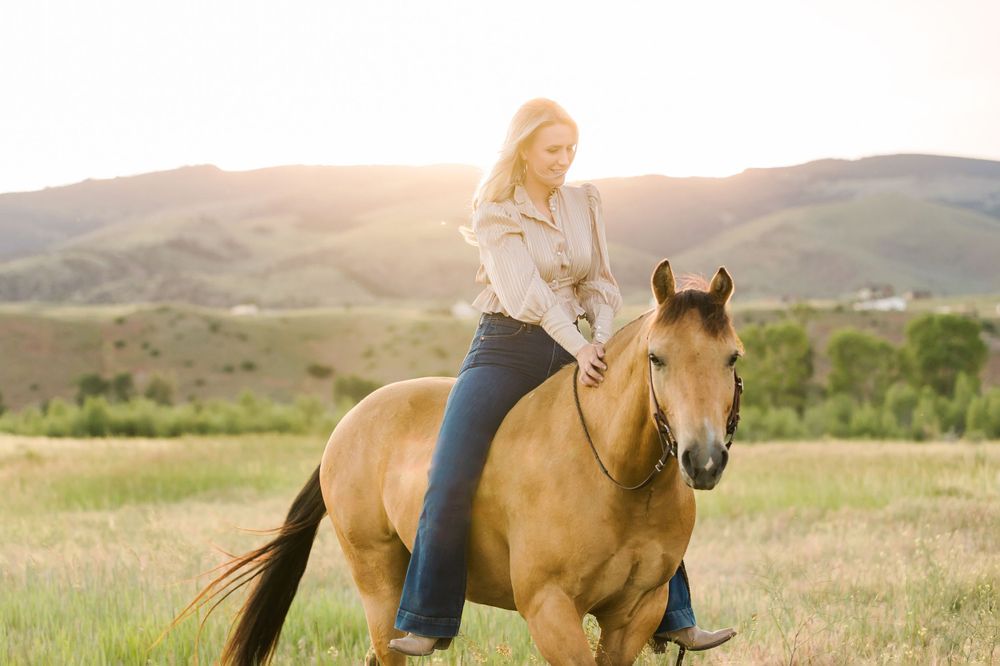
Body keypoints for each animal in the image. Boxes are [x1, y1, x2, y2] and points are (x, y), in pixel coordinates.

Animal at [176, 259, 744, 665]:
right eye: (656, 356)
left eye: (732, 356)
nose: (703, 459)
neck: (615, 476)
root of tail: (347, 426)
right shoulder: (550, 610)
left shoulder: (635, 612)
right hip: (378, 585)